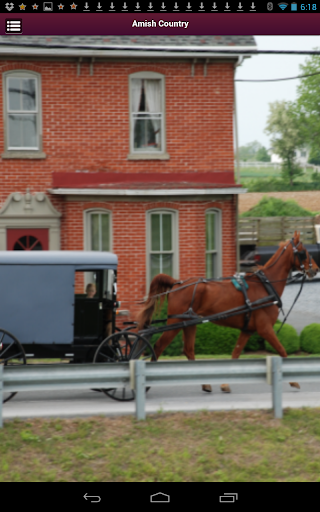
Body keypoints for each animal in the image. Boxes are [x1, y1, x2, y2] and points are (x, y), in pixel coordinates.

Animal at [137, 232, 318, 392]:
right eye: (303, 251)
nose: (315, 269)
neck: (265, 286)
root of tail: (176, 282)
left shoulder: (248, 329)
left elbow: (236, 353)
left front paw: (225, 384)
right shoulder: (265, 329)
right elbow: (282, 351)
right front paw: (294, 380)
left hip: (188, 323)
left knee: (188, 350)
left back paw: (204, 384)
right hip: (175, 322)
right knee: (158, 346)